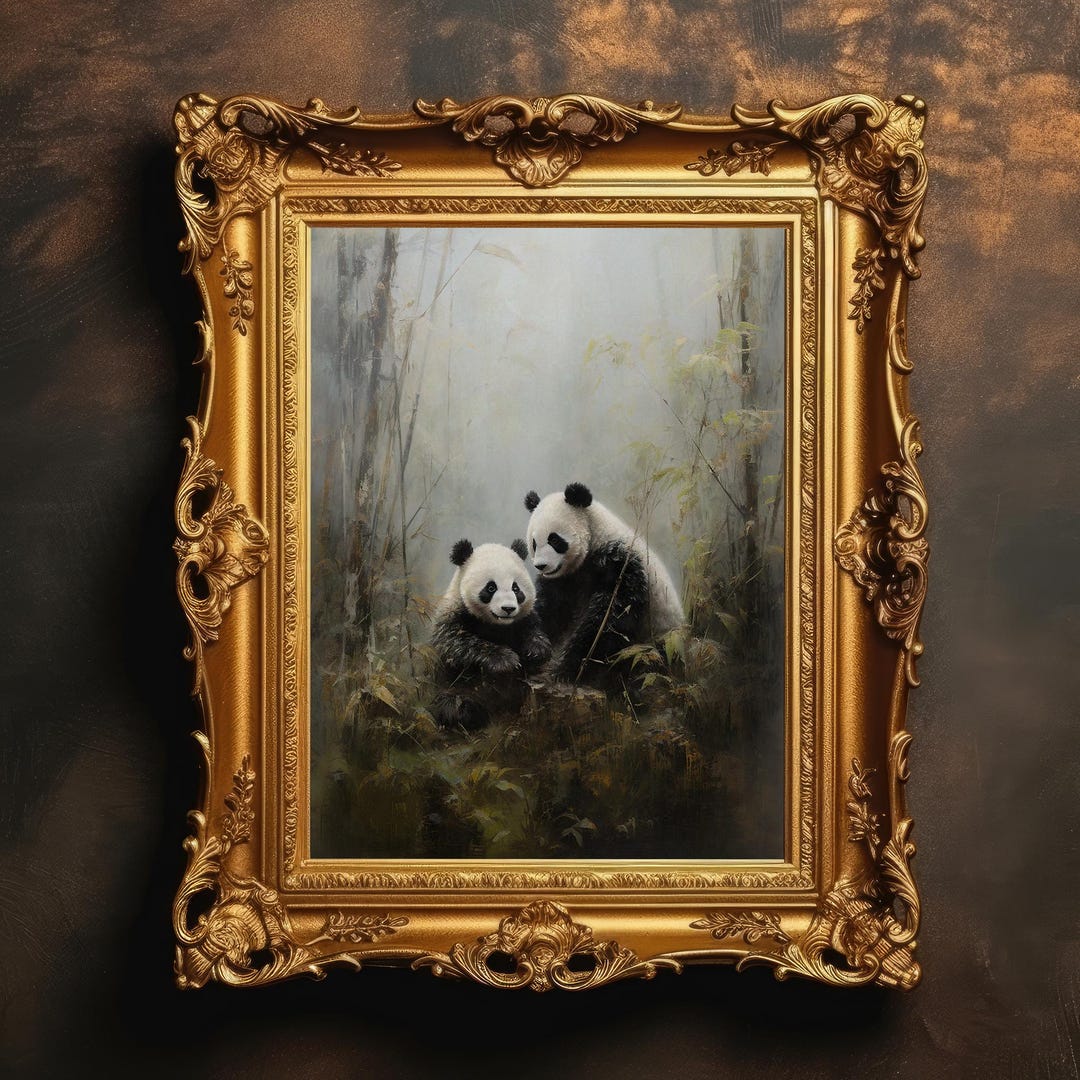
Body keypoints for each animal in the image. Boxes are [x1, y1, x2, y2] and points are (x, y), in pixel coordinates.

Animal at [429, 538, 551, 729]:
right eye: (491, 587)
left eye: (516, 588)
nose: (508, 609)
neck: (497, 625)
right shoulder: (454, 614)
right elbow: (454, 643)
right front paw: (505, 660)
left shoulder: (524, 620)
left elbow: (534, 631)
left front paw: (536, 650)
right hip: (455, 688)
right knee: (453, 704)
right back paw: (470, 714)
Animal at [523, 482, 686, 684]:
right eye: (534, 543)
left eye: (554, 539)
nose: (541, 565)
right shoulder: (564, 579)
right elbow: (549, 607)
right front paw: (536, 648)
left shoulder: (620, 563)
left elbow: (611, 617)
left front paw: (567, 668)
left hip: (659, 640)